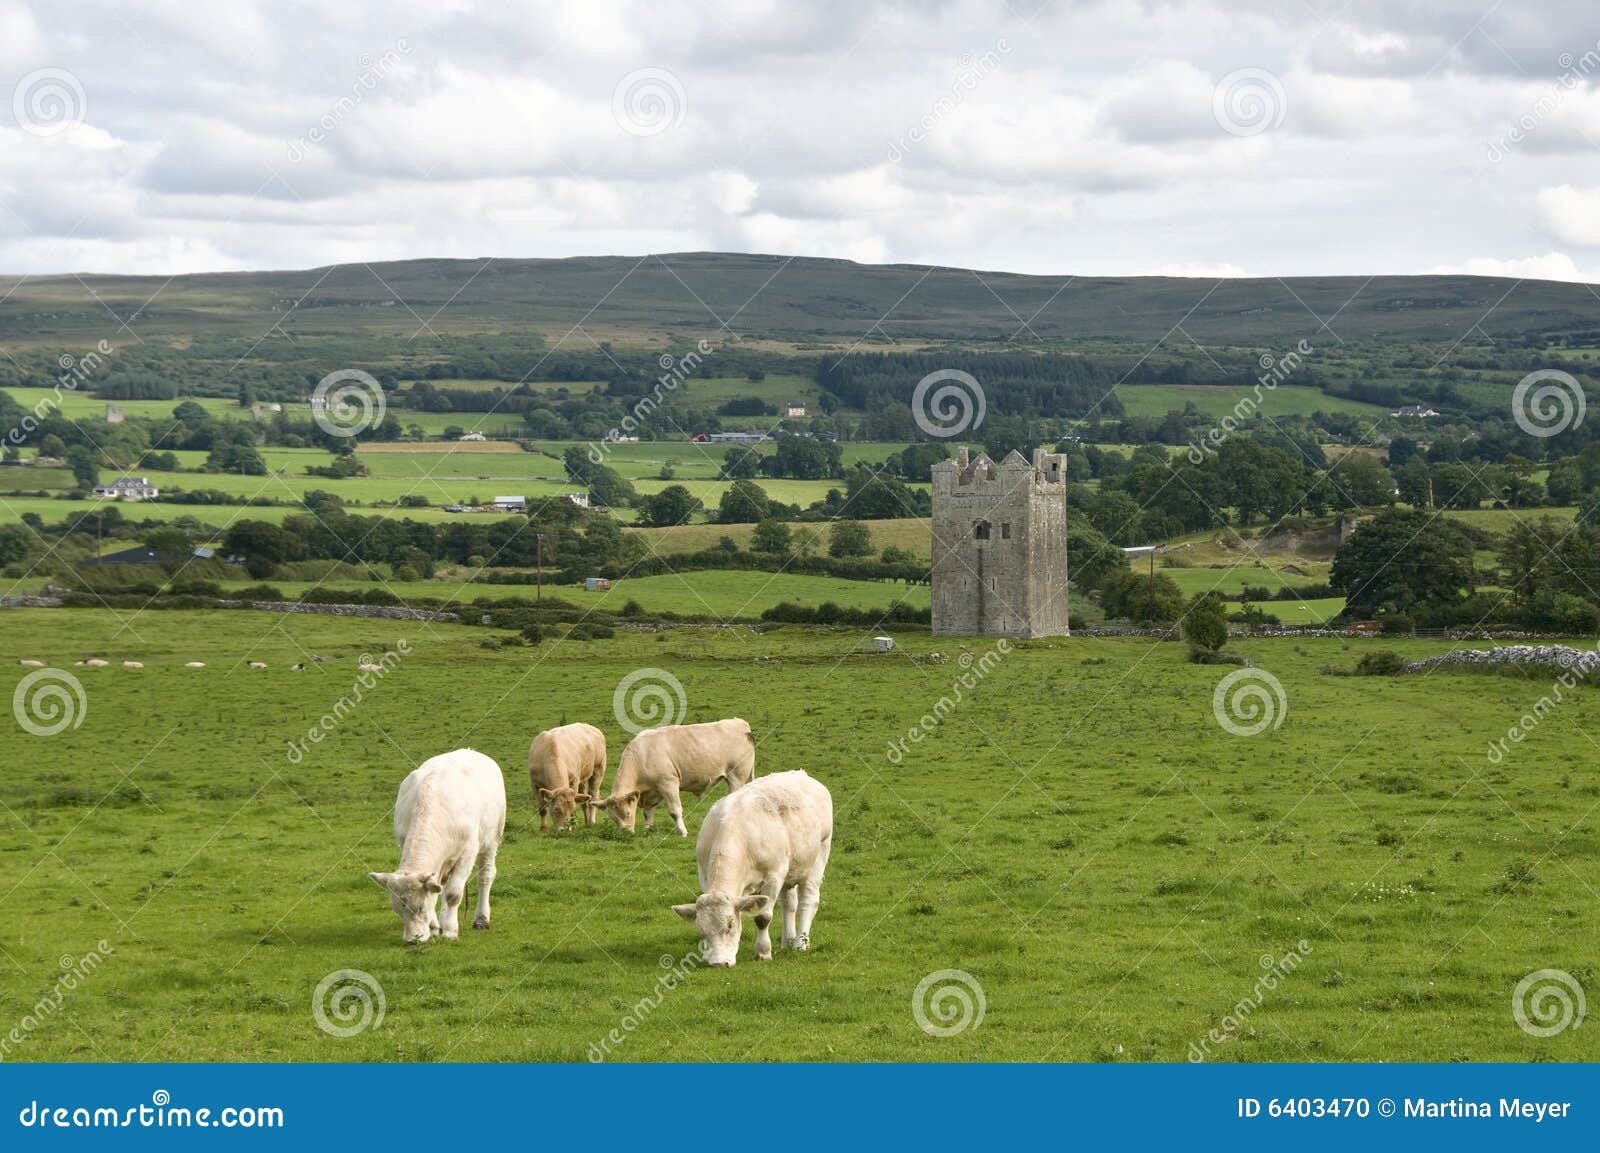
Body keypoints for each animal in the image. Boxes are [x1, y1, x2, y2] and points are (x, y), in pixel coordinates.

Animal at [369, 748, 505, 945]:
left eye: (419, 908)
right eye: (398, 910)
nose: (412, 940)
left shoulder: (468, 853)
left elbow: (453, 894)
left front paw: (449, 931)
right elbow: (436, 891)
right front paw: (434, 928)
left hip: (492, 839)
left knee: (485, 876)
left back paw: (481, 919)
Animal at [600, 718, 755, 835]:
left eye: (627, 813)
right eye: (613, 818)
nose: (625, 833)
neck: (642, 755)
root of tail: (739, 722)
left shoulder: (668, 784)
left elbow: (675, 810)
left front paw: (682, 831)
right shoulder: (653, 791)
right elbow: (647, 812)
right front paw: (648, 830)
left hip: (736, 776)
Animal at [671, 770, 833, 966]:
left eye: (730, 925)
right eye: (701, 931)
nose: (718, 963)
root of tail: (801, 774)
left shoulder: (773, 877)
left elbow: (763, 918)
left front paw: (763, 952)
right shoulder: (704, 876)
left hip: (819, 856)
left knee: (808, 901)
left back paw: (801, 943)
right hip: (790, 869)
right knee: (789, 904)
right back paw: (787, 941)